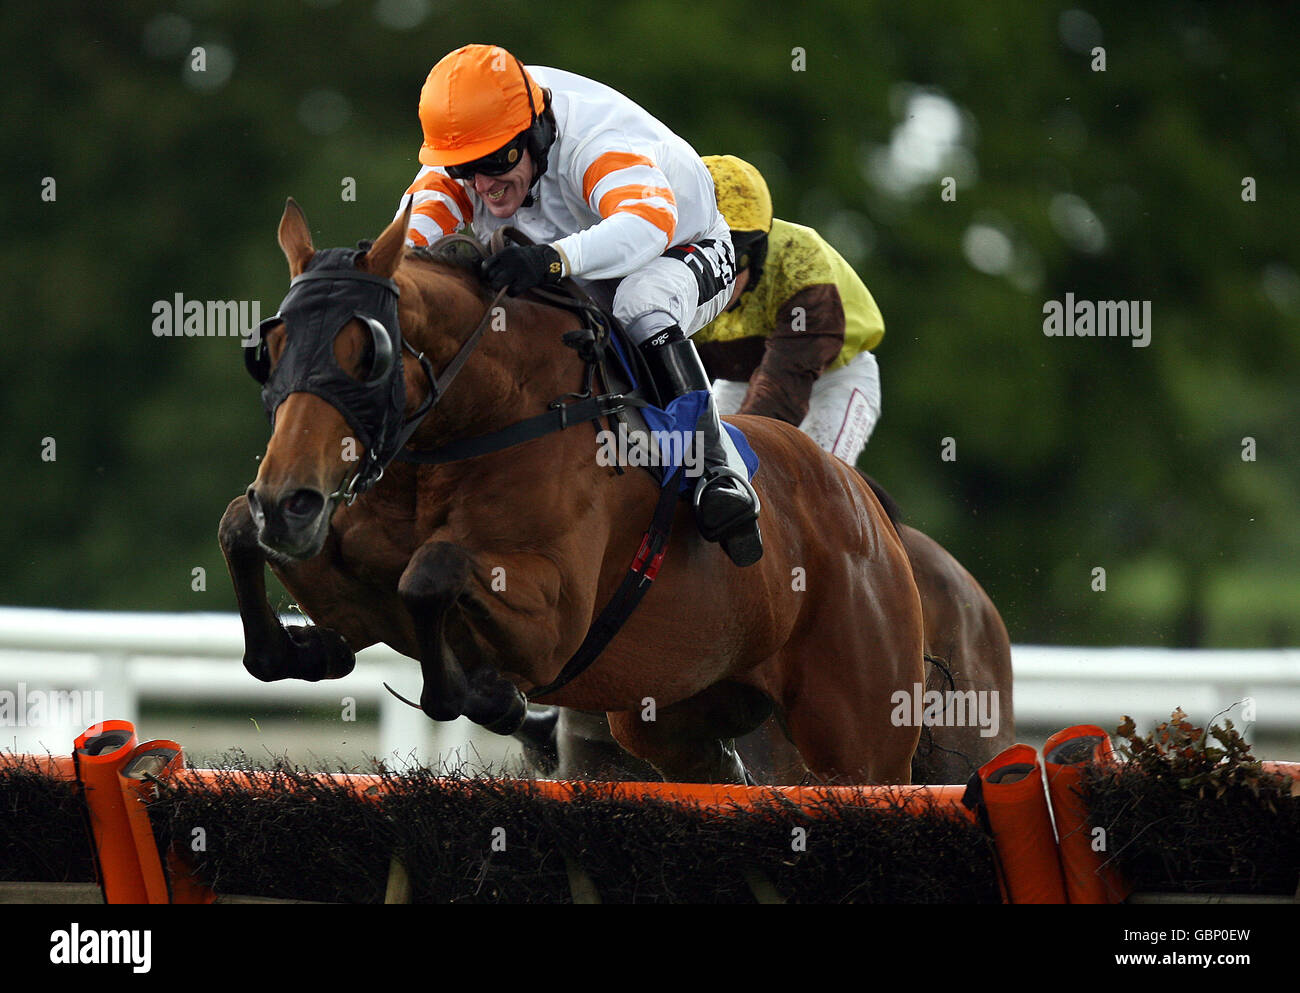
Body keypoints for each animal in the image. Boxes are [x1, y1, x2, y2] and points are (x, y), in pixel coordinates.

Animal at [219, 199, 925, 784]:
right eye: (267, 348)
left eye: (368, 351)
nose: (287, 503)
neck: (478, 425)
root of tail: (864, 505)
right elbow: (239, 534)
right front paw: (306, 645)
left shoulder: (555, 625)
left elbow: (430, 572)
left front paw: (487, 692)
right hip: (670, 718)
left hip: (860, 741)